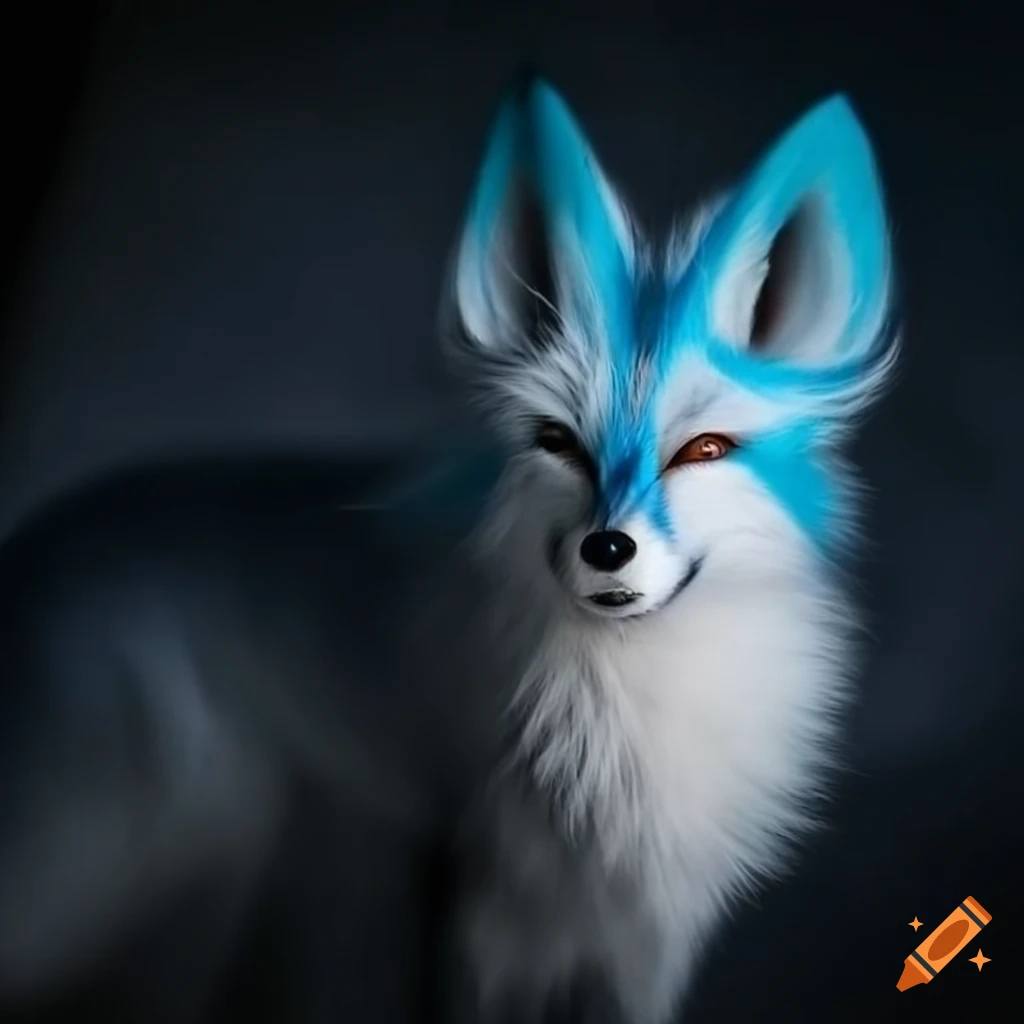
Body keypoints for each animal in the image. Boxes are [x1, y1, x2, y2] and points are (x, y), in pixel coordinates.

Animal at [0, 72, 897, 1023]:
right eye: (557, 443)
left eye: (704, 450)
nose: (607, 548)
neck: (625, 726)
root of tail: (47, 528)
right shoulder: (474, 913)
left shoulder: (648, 933)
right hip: (123, 858)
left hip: (215, 863)